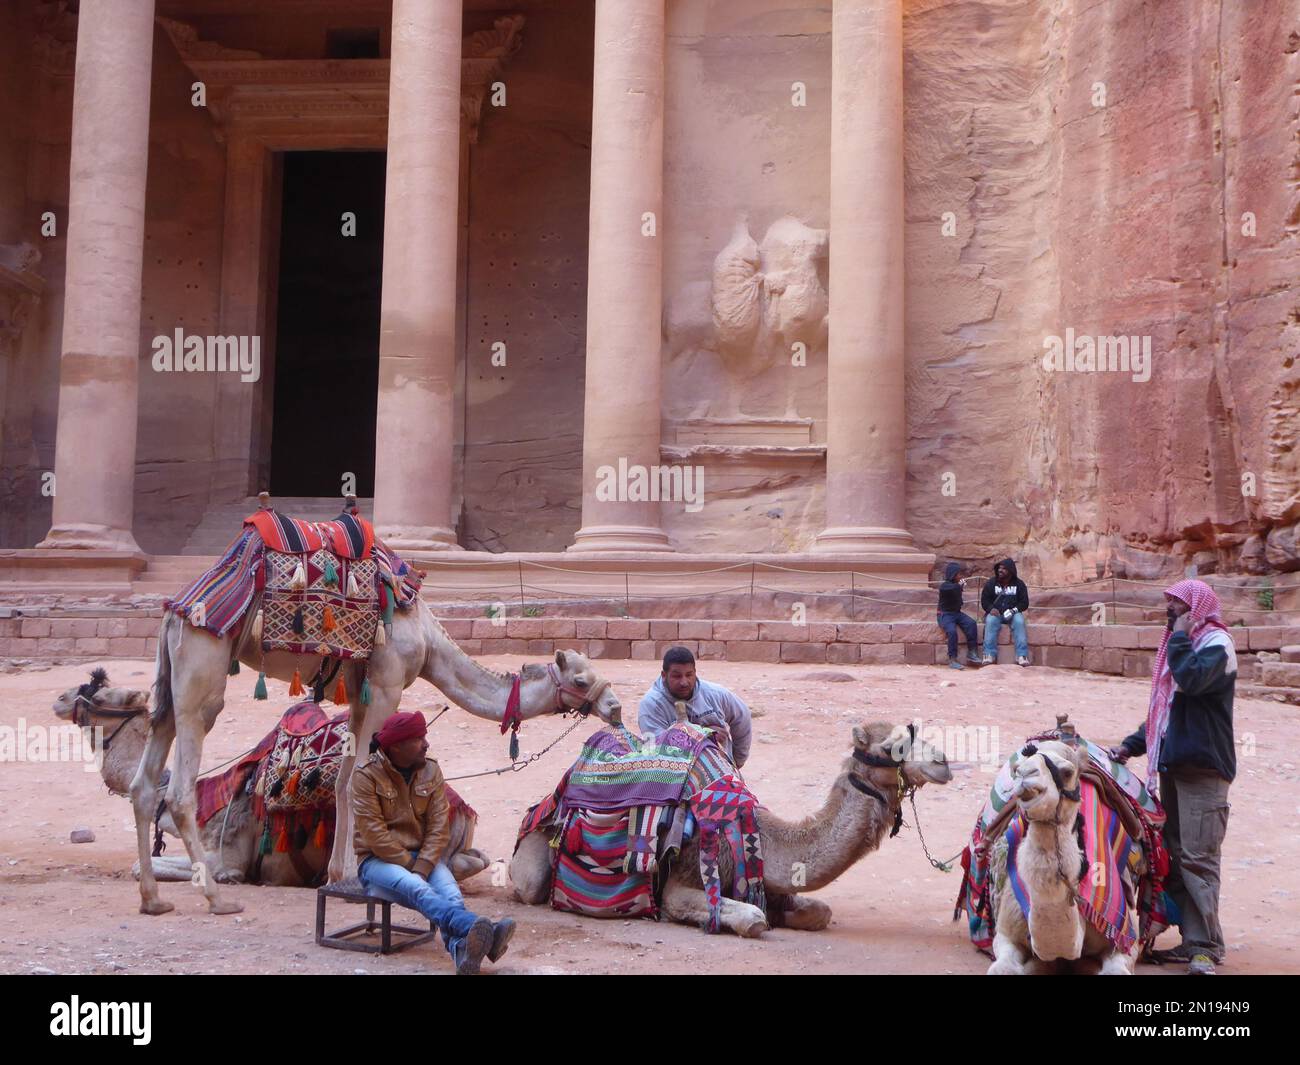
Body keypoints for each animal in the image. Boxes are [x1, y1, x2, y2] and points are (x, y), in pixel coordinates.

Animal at [53, 672, 489, 887]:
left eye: (100, 695)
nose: (59, 698)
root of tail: (462, 810)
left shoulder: (225, 854)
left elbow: (143, 867)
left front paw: (227, 880)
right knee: (474, 861)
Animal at [138, 596, 623, 916]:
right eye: (581, 680)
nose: (615, 707)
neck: (428, 641)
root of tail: (173, 612)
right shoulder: (387, 684)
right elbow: (357, 778)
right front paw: (356, 877)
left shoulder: (358, 693)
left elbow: (341, 780)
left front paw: (339, 874)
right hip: (203, 673)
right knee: (180, 788)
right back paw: (217, 898)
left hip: (170, 682)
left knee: (147, 777)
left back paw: (153, 900)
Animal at [510, 720, 953, 936]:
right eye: (891, 746)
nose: (944, 762)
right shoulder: (682, 878)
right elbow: (752, 918)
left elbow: (820, 912)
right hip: (535, 860)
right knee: (528, 886)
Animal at [986, 741, 1141, 975]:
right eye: (1016, 769)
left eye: (1067, 772)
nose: (1025, 775)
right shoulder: (1006, 932)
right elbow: (1003, 967)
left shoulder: (1125, 936)